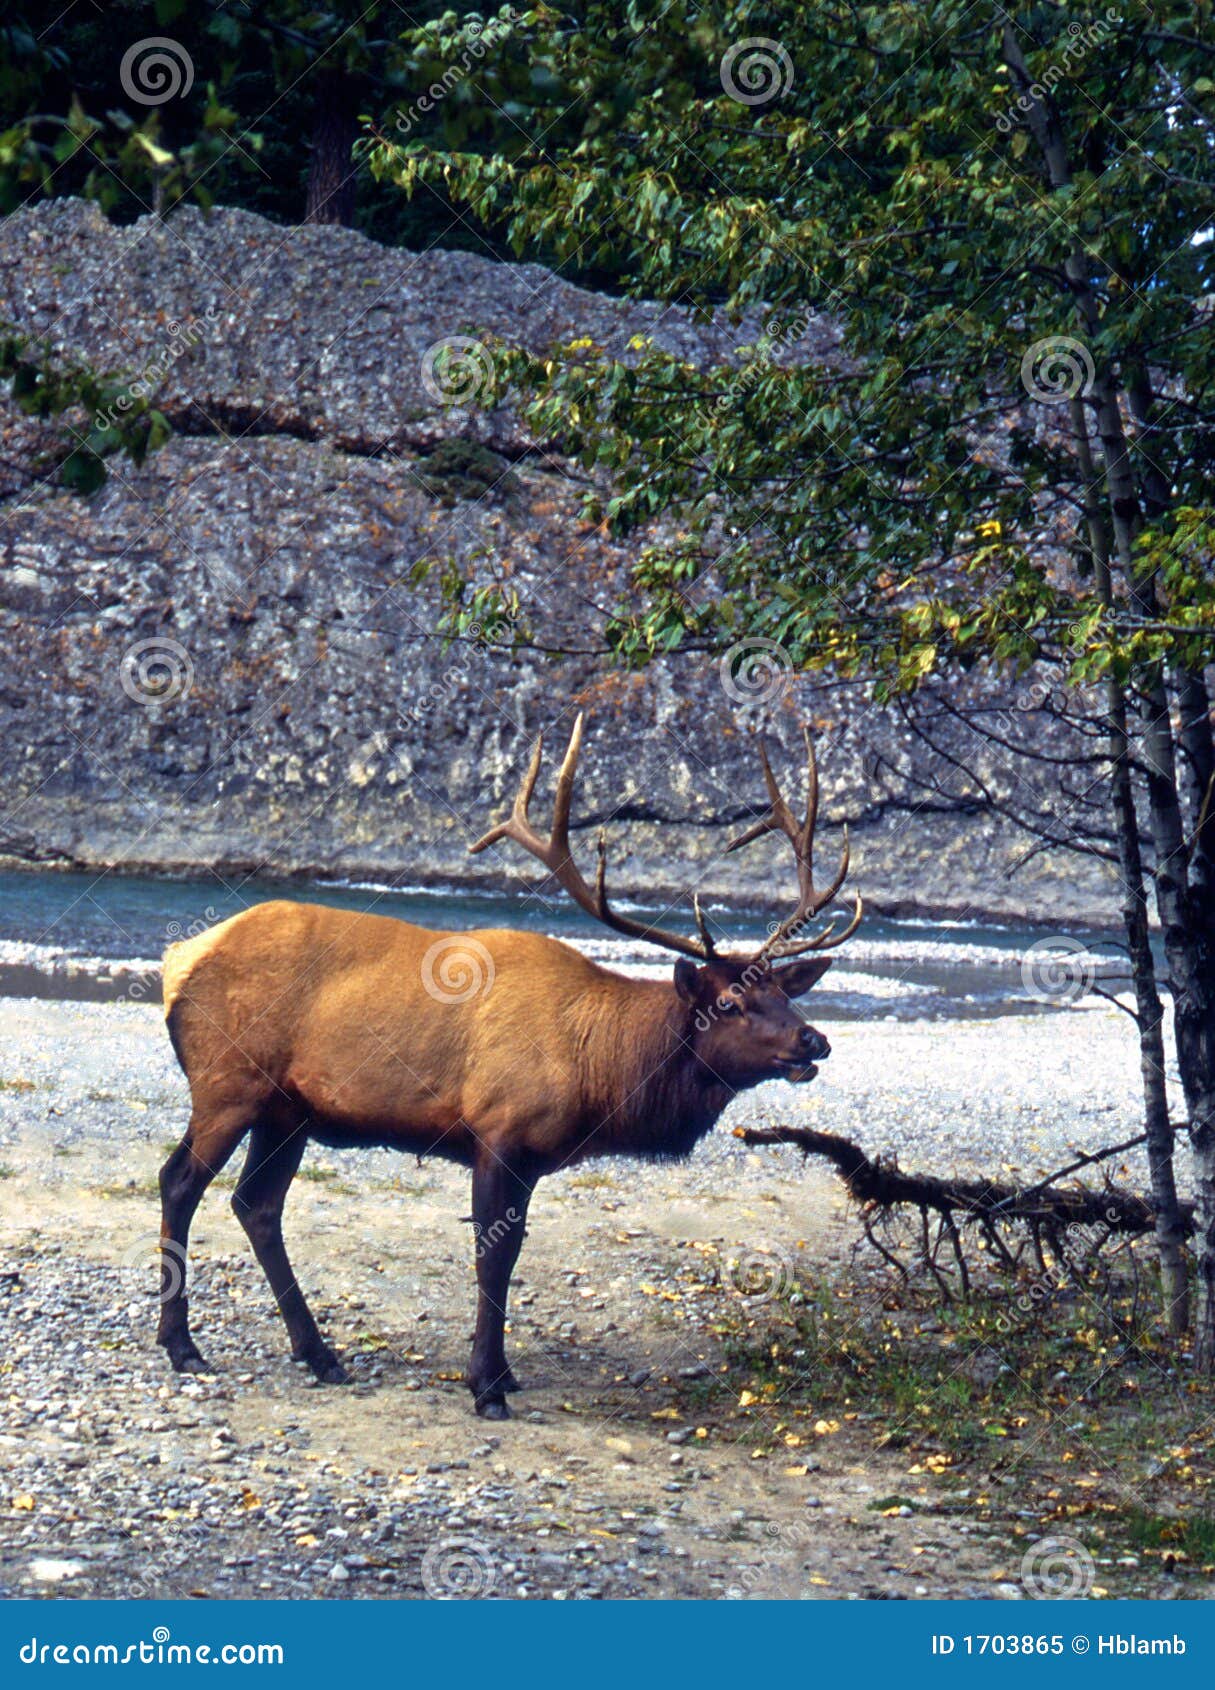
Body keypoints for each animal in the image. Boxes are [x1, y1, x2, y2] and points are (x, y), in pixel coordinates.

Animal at [156, 714, 861, 1417]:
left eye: (784, 994)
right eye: (728, 1002)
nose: (814, 1041)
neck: (597, 1072)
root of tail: (179, 960)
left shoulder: (532, 1156)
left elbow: (512, 1254)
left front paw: (502, 1373)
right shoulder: (497, 1128)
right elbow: (493, 1258)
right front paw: (487, 1384)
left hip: (288, 1110)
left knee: (256, 1204)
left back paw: (318, 1353)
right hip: (227, 1083)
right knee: (180, 1181)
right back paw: (183, 1346)